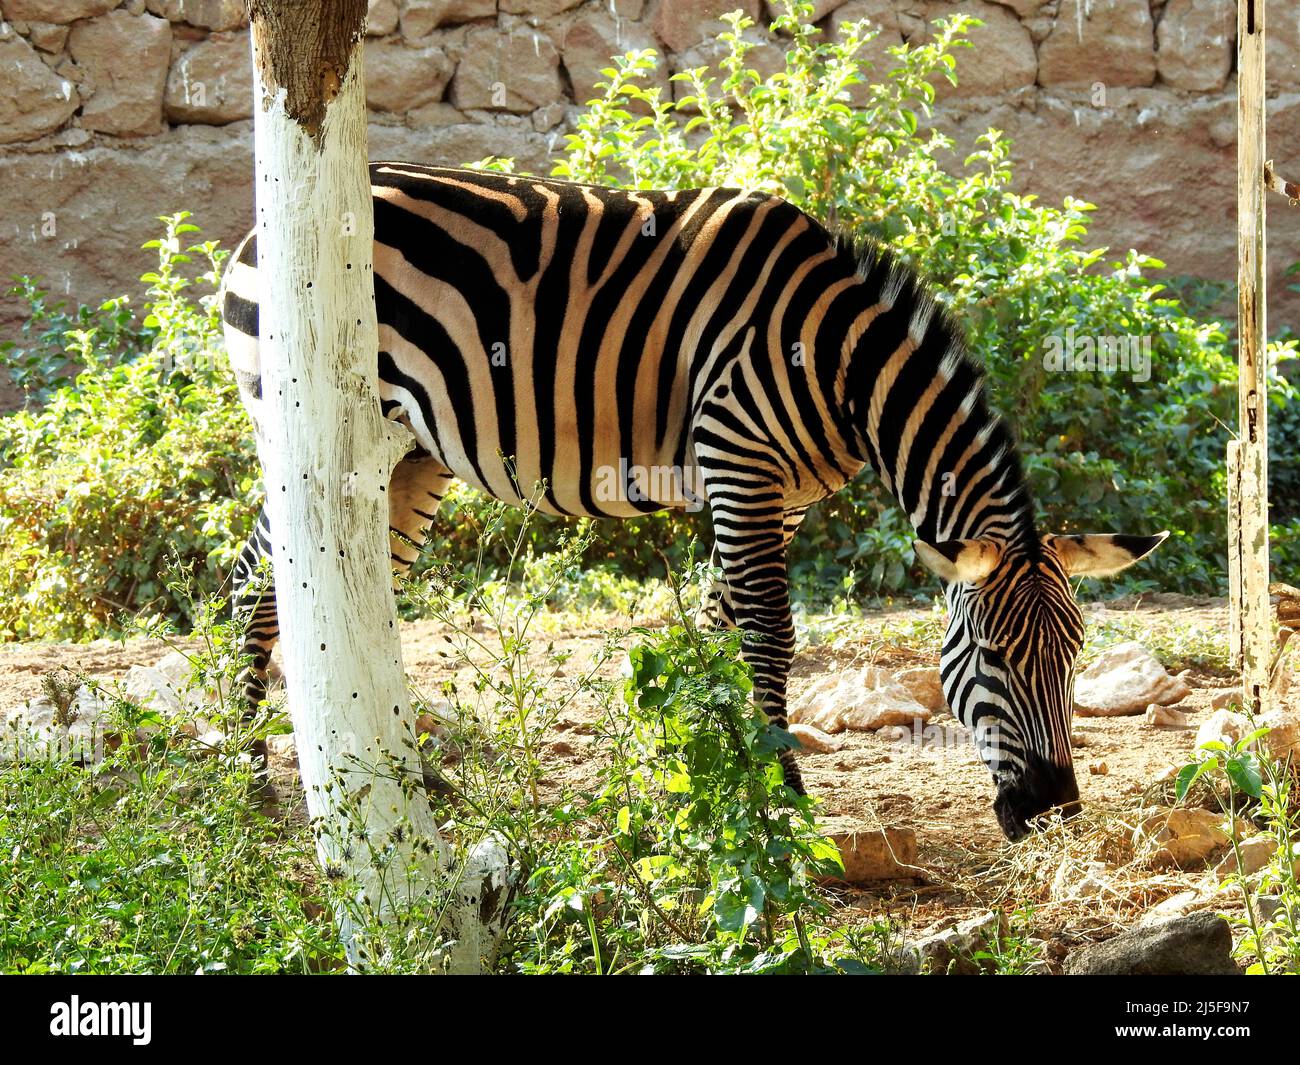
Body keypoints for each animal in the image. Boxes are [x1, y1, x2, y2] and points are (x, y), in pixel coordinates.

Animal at [223, 164, 1170, 842]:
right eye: (997, 659)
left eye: (1075, 660)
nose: (1054, 810)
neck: (838, 364)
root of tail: (260, 227)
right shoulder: (738, 458)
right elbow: (770, 631)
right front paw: (779, 793)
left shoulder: (780, 495)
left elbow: (722, 623)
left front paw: (691, 766)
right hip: (299, 426)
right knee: (255, 586)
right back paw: (247, 782)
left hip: (406, 455)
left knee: (352, 602)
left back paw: (403, 773)